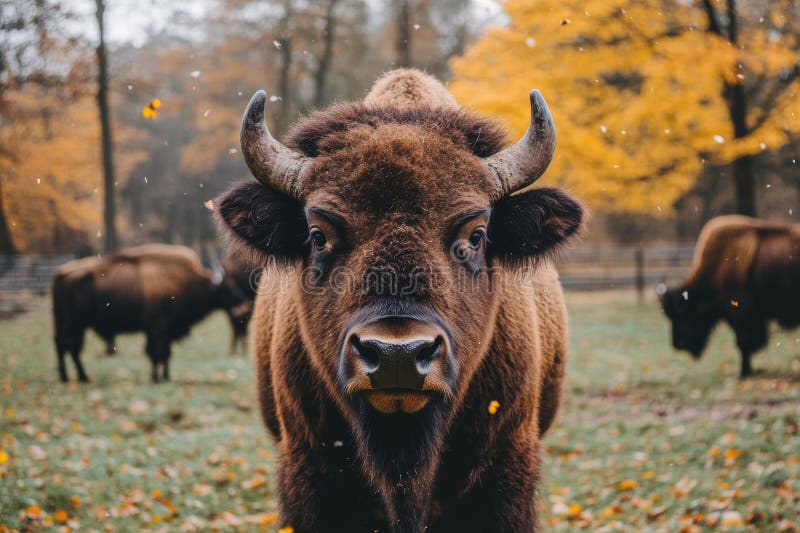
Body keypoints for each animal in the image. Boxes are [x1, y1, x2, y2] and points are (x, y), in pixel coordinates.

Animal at [52, 244, 247, 383]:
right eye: (227, 286)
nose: (244, 303)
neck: (184, 281)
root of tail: (62, 273)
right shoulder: (157, 329)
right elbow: (156, 353)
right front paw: (156, 377)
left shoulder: (167, 331)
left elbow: (165, 354)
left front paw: (166, 376)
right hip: (74, 324)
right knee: (69, 346)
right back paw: (79, 377)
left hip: (71, 324)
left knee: (66, 346)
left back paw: (71, 377)